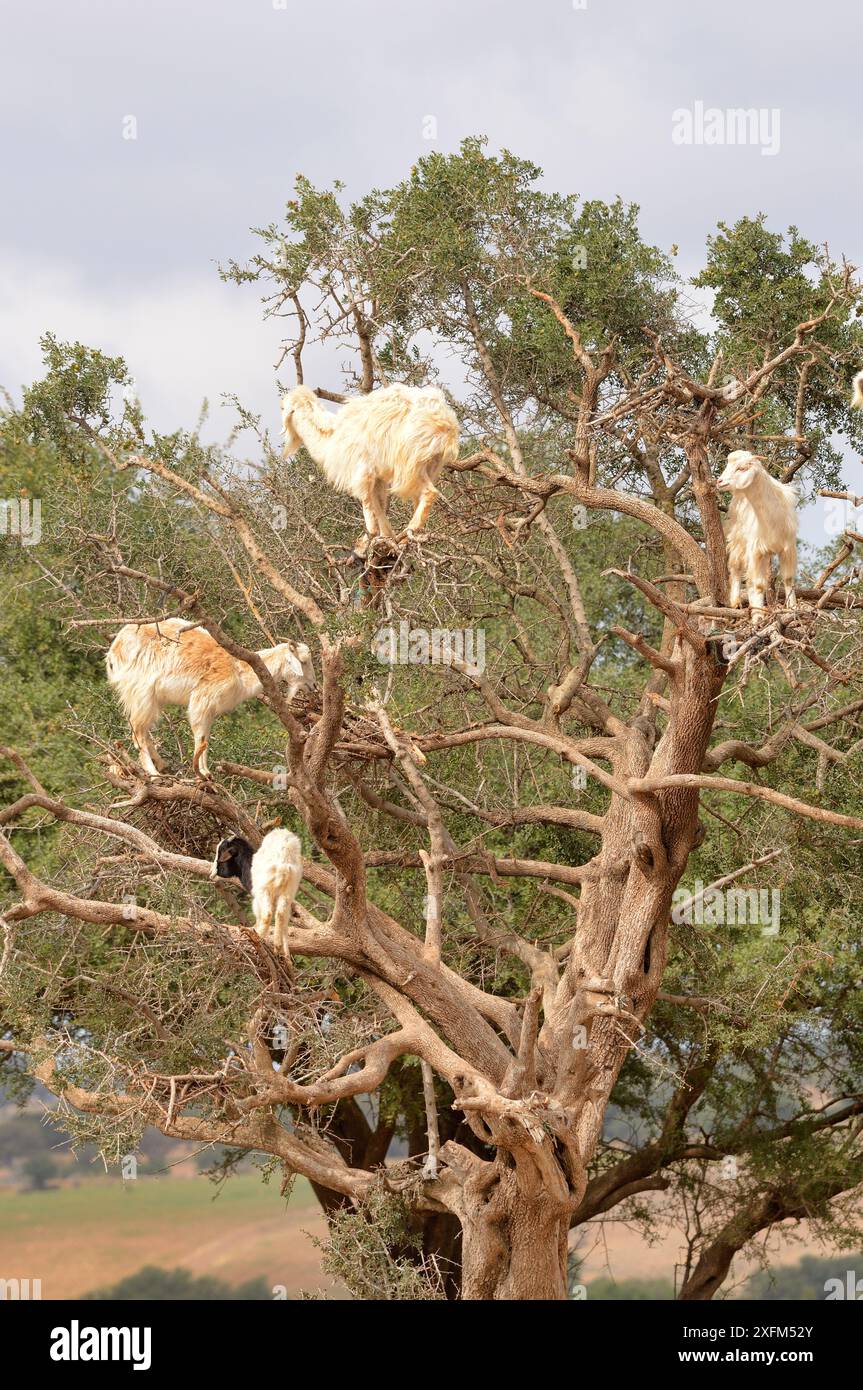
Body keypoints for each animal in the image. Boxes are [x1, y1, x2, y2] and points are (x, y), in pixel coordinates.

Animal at [106, 619, 316, 779]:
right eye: (303, 661)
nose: (313, 685)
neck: (238, 668)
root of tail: (114, 651)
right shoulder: (202, 699)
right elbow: (200, 736)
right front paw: (203, 774)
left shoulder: (210, 709)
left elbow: (205, 738)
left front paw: (206, 772)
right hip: (141, 691)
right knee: (138, 731)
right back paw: (154, 774)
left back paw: (162, 765)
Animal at [212, 828, 302, 959]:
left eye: (221, 851)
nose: (212, 873)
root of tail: (284, 861)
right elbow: (285, 923)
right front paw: (285, 953)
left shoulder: (257, 897)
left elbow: (259, 917)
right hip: (288, 891)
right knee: (280, 915)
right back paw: (277, 947)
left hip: (264, 891)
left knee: (267, 915)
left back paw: (258, 939)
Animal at [280, 383, 460, 544]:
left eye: (286, 409)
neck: (331, 437)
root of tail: (446, 422)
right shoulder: (377, 477)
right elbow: (378, 505)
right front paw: (386, 537)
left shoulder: (362, 471)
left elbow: (368, 505)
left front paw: (370, 537)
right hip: (429, 465)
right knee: (421, 497)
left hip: (409, 464)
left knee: (430, 492)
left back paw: (410, 529)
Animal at [716, 451, 798, 618]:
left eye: (741, 468)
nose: (719, 481)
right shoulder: (756, 550)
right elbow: (758, 585)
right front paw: (758, 617)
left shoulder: (788, 548)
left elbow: (788, 579)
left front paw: (793, 608)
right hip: (739, 539)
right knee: (736, 568)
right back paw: (736, 603)